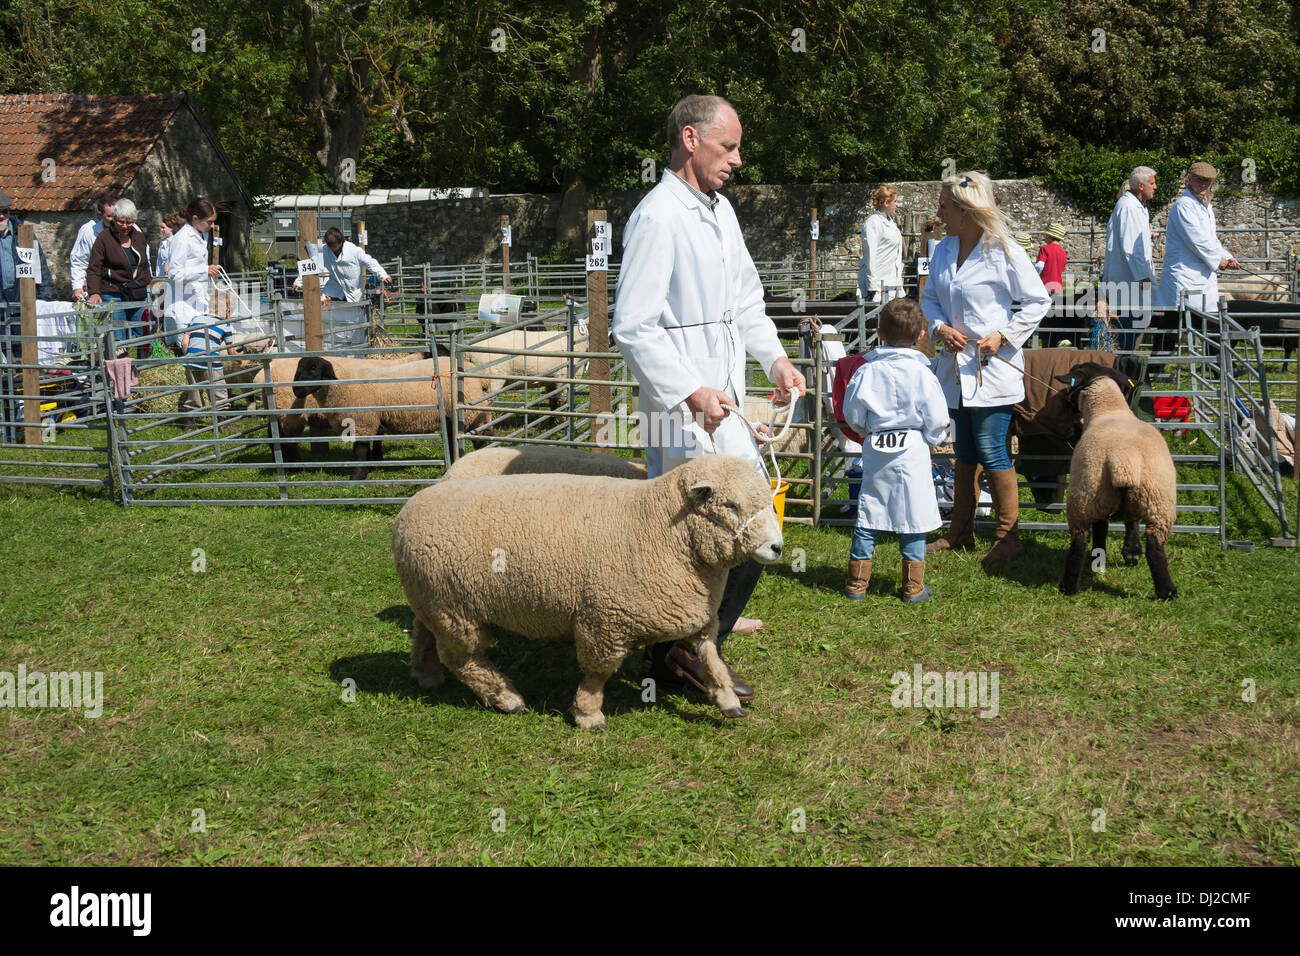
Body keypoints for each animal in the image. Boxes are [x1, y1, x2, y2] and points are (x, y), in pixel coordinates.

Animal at [292, 355, 490, 480]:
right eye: (299, 370)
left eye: (314, 370)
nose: (296, 391)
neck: (343, 384)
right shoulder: (372, 420)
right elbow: (374, 444)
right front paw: (373, 464)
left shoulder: (361, 422)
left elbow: (360, 451)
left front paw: (357, 476)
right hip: (459, 414)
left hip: (472, 412)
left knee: (480, 439)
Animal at [392, 454, 784, 728]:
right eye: (730, 505)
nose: (777, 548)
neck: (660, 526)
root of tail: (408, 510)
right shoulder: (604, 620)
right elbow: (599, 673)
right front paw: (588, 715)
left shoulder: (699, 616)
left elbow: (710, 658)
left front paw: (727, 699)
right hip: (456, 610)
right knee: (461, 658)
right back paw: (506, 696)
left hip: (435, 599)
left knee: (424, 632)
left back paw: (425, 675)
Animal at [1055, 361, 1178, 600]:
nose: (1065, 399)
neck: (1109, 408)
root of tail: (1123, 460)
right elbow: (1132, 522)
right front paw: (1131, 552)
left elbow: (1102, 528)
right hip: (1158, 502)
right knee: (1155, 546)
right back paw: (1167, 591)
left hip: (1086, 496)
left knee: (1080, 541)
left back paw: (1069, 586)